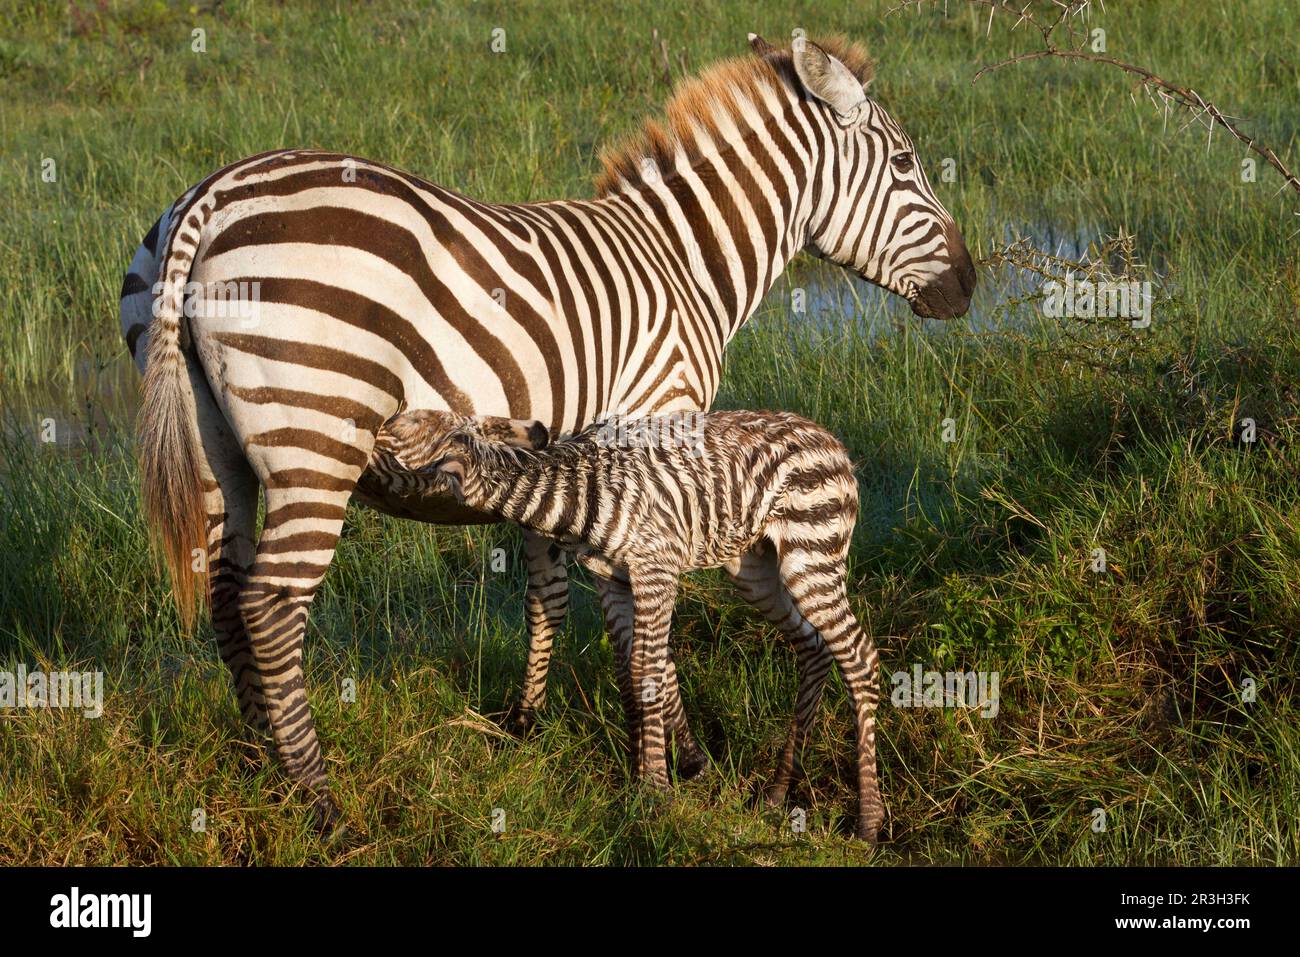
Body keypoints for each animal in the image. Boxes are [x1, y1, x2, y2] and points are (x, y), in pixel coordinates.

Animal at [373, 407, 884, 843]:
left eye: (396, 434)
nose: (367, 427)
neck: (576, 495)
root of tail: (830, 439)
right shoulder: (612, 579)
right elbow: (629, 673)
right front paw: (637, 780)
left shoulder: (657, 569)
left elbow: (650, 673)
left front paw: (656, 791)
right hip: (754, 569)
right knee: (814, 646)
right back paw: (778, 791)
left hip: (810, 556)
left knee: (859, 657)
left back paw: (869, 822)